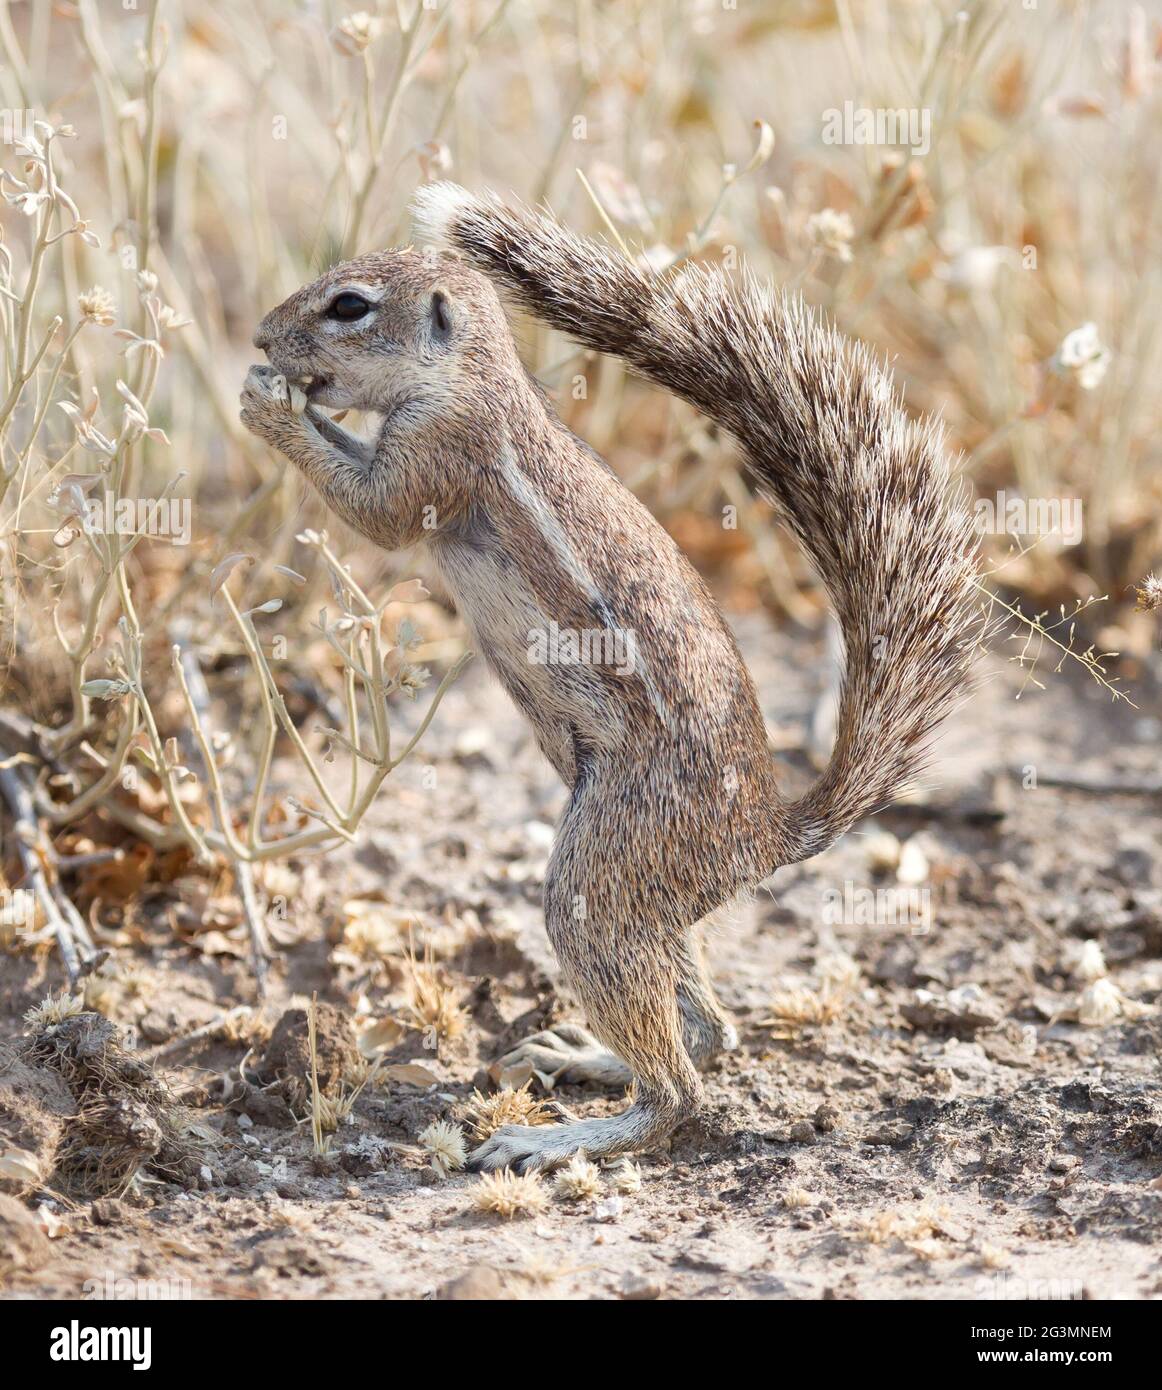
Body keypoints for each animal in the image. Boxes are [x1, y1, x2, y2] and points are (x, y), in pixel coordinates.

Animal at [240, 183, 978, 1173]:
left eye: (349, 306)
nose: (259, 338)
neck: (472, 378)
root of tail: (764, 836)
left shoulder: (439, 449)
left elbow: (378, 515)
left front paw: (272, 406)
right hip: (644, 898)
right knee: (707, 1028)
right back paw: (581, 1056)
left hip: (603, 869)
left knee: (681, 1091)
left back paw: (563, 1137)